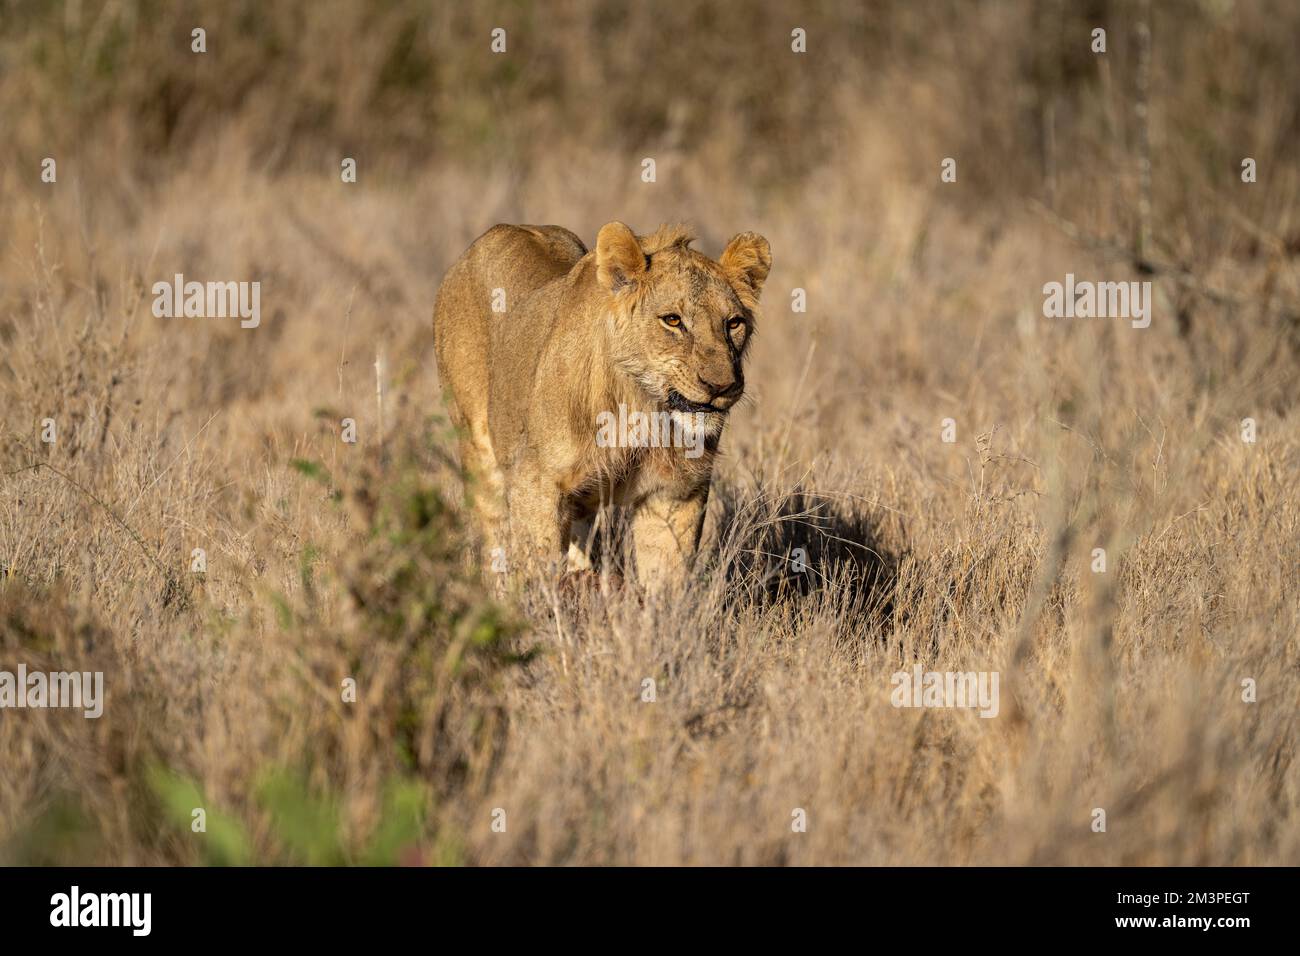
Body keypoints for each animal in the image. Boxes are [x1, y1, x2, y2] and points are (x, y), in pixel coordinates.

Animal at [432, 221, 771, 585]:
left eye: (733, 323)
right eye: (672, 320)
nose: (721, 386)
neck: (641, 408)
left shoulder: (674, 493)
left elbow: (666, 583)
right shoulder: (535, 484)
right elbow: (540, 573)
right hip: (479, 455)